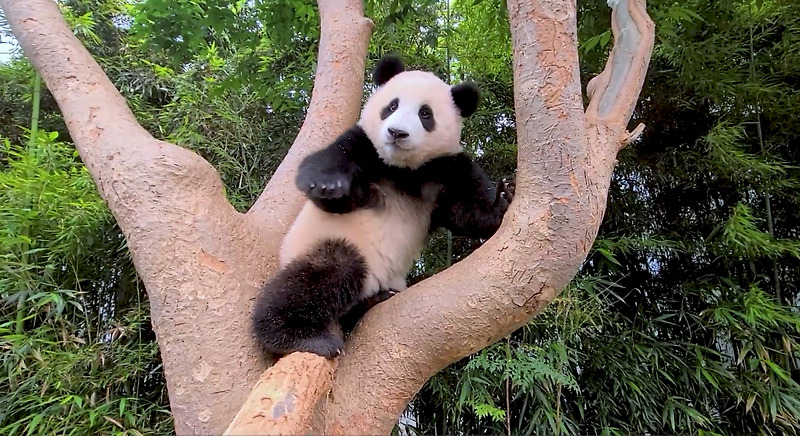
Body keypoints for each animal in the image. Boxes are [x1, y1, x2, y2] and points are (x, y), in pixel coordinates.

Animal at [251, 55, 514, 359]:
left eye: (425, 114)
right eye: (392, 106)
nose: (396, 133)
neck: (403, 169)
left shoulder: (444, 167)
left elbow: (466, 211)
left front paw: (504, 197)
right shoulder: (363, 144)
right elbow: (321, 174)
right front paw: (336, 187)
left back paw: (372, 302)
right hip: (318, 245)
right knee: (325, 271)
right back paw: (301, 337)